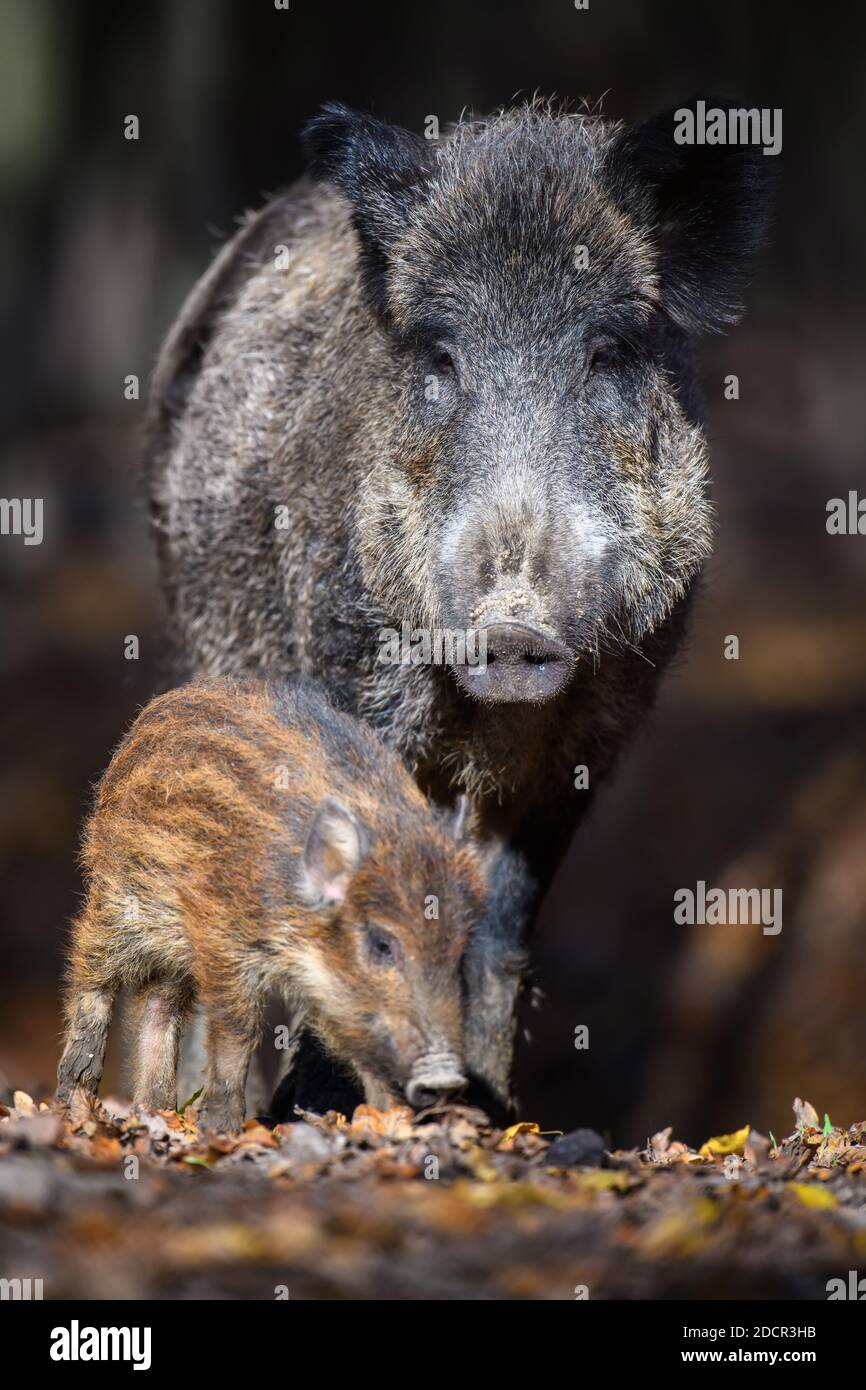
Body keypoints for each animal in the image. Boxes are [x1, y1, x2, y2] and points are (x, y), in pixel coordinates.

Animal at [56, 676, 484, 1131]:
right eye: (382, 944)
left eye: (459, 951)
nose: (445, 1079)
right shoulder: (222, 938)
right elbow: (238, 1028)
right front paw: (222, 1129)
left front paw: (390, 1123)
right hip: (121, 894)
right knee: (90, 964)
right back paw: (75, 1090)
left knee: (159, 1005)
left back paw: (158, 1110)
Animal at [145, 98, 774, 1119]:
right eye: (441, 355)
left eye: (607, 353)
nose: (511, 622)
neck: (494, 722)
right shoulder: (357, 686)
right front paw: (341, 1109)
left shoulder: (587, 747)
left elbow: (501, 927)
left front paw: (496, 1112)